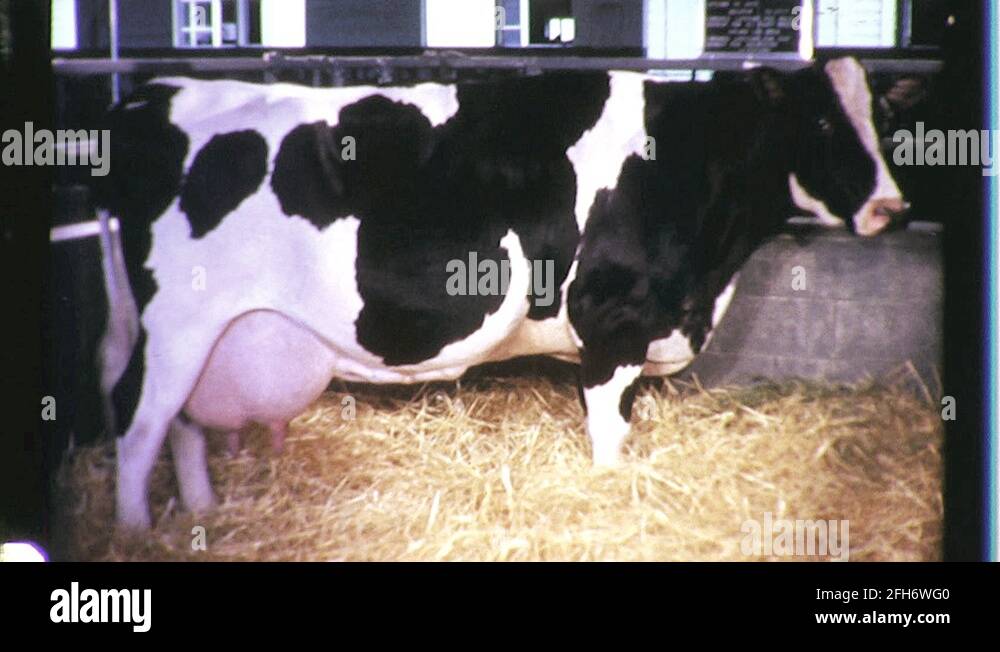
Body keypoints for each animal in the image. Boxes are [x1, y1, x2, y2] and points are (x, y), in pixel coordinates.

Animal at [96, 57, 905, 529]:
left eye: (885, 117)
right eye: (821, 118)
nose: (890, 207)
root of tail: (154, 93)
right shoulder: (612, 316)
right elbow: (609, 432)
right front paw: (609, 491)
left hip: (195, 334)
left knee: (181, 423)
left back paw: (203, 514)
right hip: (177, 323)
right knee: (138, 424)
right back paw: (137, 536)